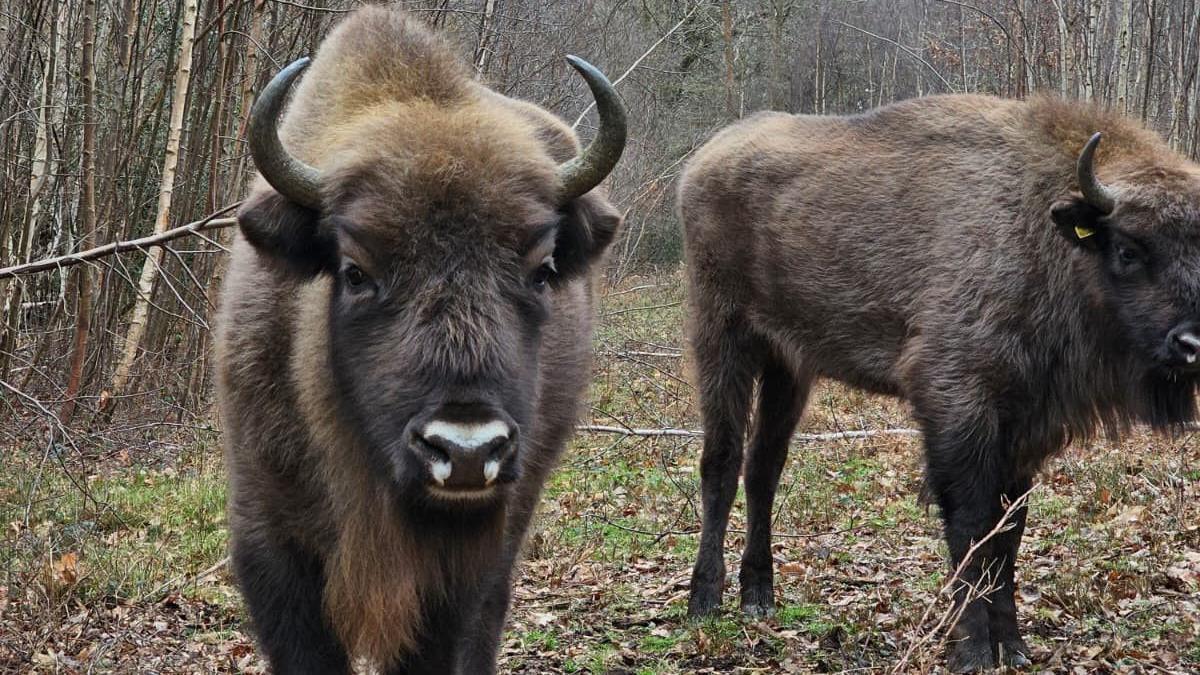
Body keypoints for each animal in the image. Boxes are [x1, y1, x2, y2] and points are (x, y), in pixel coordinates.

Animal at [679, 94, 1200, 671]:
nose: (1192, 343)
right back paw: (705, 600)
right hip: (722, 338)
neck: (1040, 228)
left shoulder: (1024, 428)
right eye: (1128, 250)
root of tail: (703, 160)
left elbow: (1007, 534)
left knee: (763, 468)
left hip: (788, 367)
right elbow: (970, 526)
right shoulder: (957, 403)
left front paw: (1013, 646)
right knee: (721, 462)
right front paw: (972, 651)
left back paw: (758, 596)